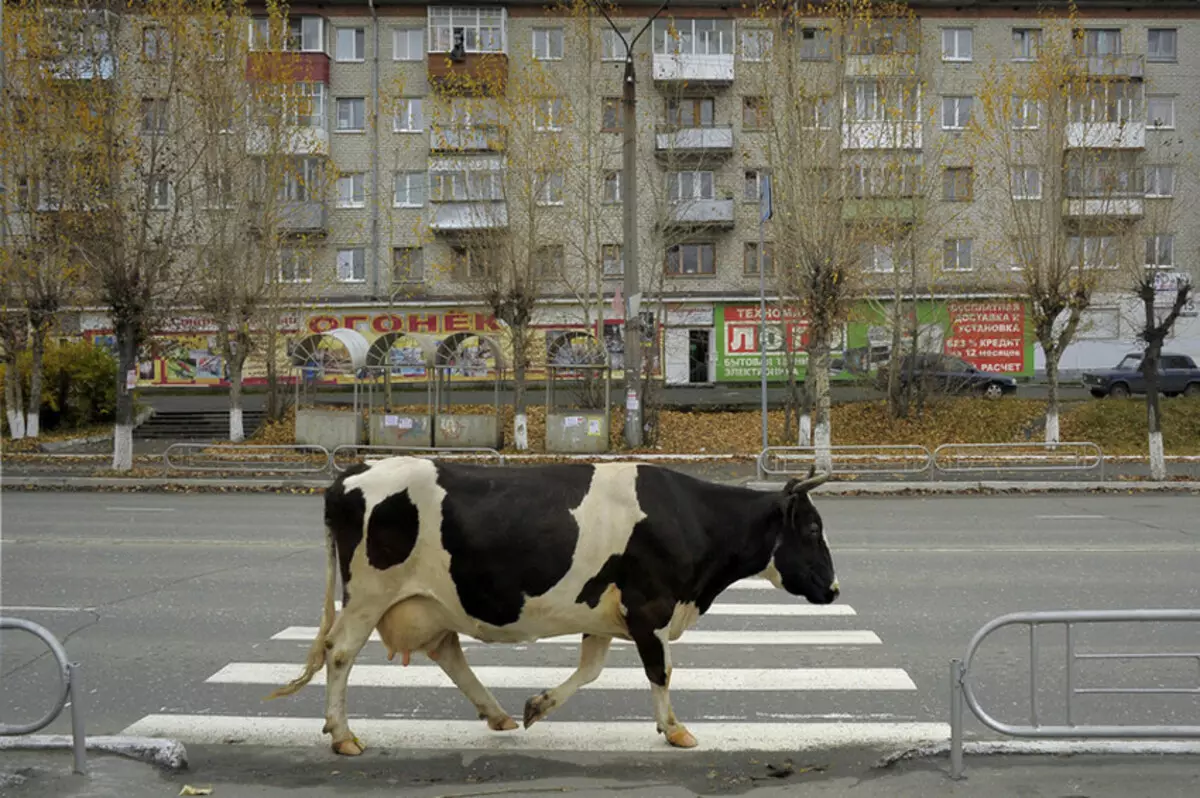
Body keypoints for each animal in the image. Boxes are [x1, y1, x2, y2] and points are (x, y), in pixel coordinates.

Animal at [267, 453, 840, 753]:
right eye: (813, 529)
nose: (834, 590)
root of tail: (352, 472)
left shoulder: (606, 614)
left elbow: (591, 670)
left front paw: (537, 706)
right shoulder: (650, 607)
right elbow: (660, 671)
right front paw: (674, 728)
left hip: (430, 600)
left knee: (447, 652)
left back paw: (498, 715)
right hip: (368, 595)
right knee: (340, 652)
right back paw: (343, 734)